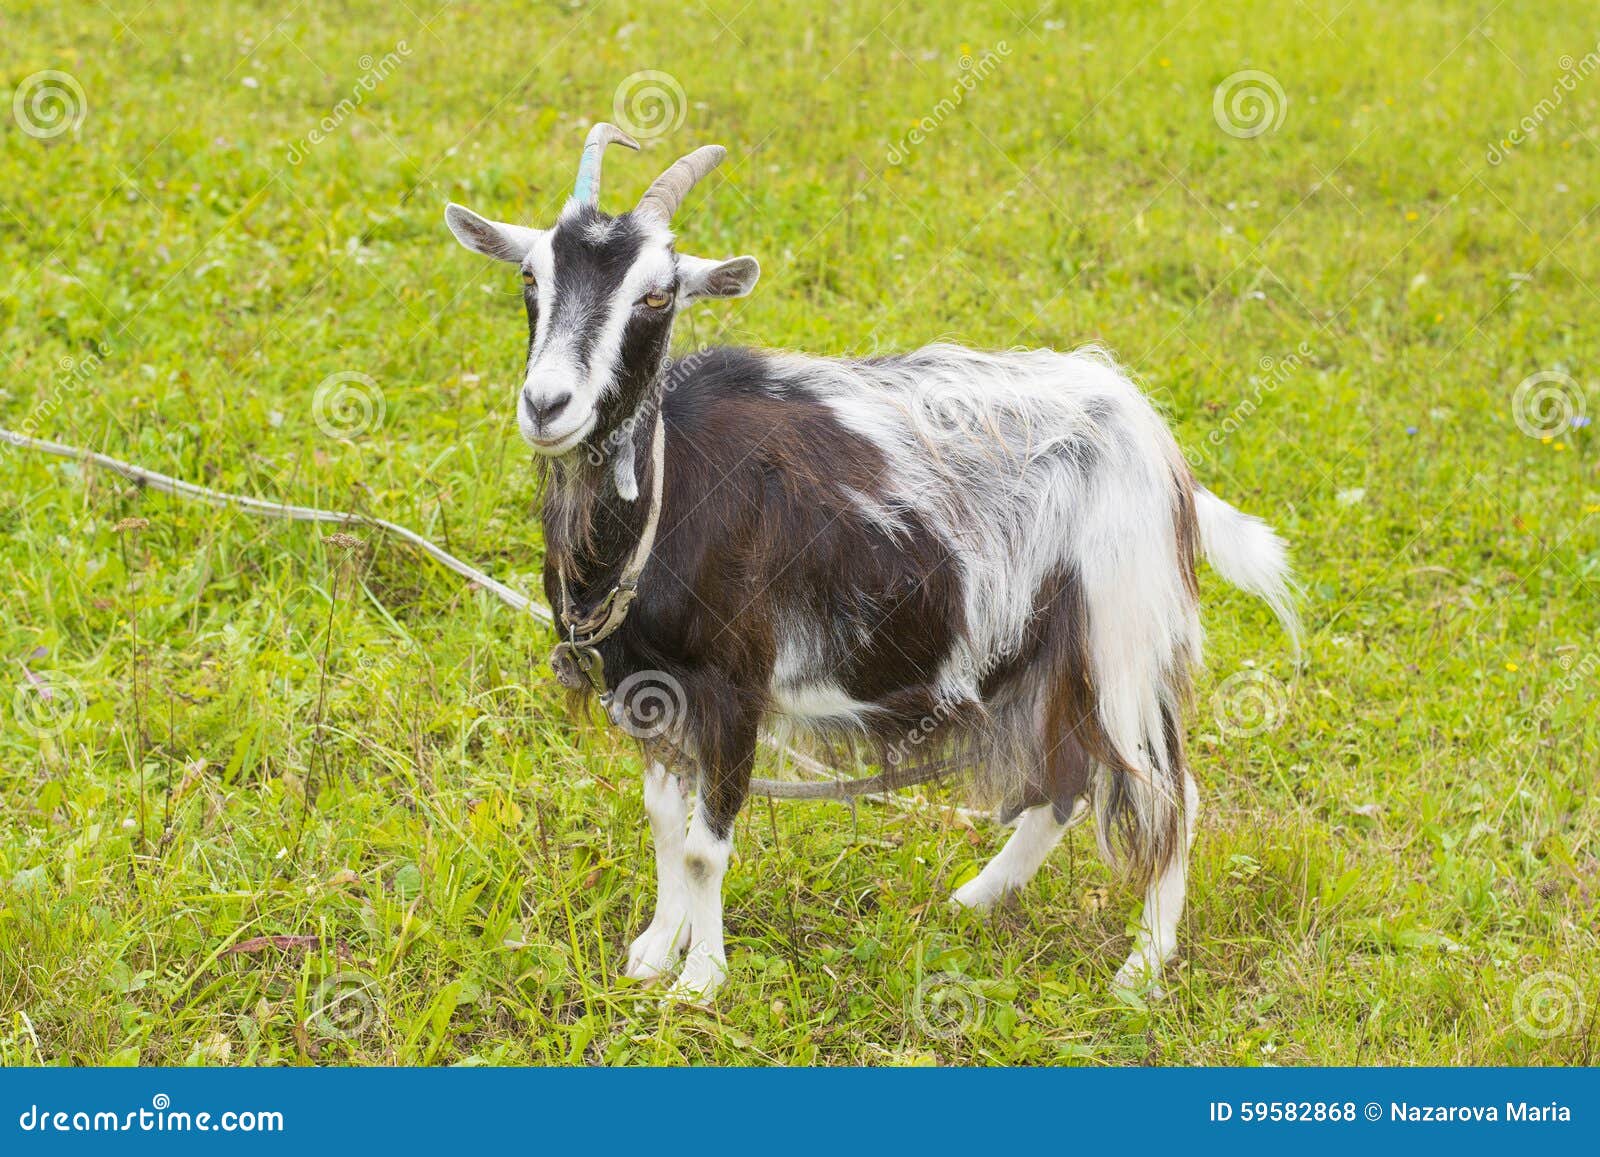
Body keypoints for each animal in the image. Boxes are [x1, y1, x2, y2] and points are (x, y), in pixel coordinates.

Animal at [445, 123, 1300, 1001]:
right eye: (530, 276)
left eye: (659, 294)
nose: (547, 404)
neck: (666, 491)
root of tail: (1161, 447)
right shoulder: (646, 687)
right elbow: (663, 823)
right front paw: (655, 950)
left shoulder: (736, 682)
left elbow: (705, 843)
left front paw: (701, 980)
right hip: (1051, 651)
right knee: (1065, 778)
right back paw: (977, 899)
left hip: (1124, 631)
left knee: (1168, 789)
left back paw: (1141, 966)